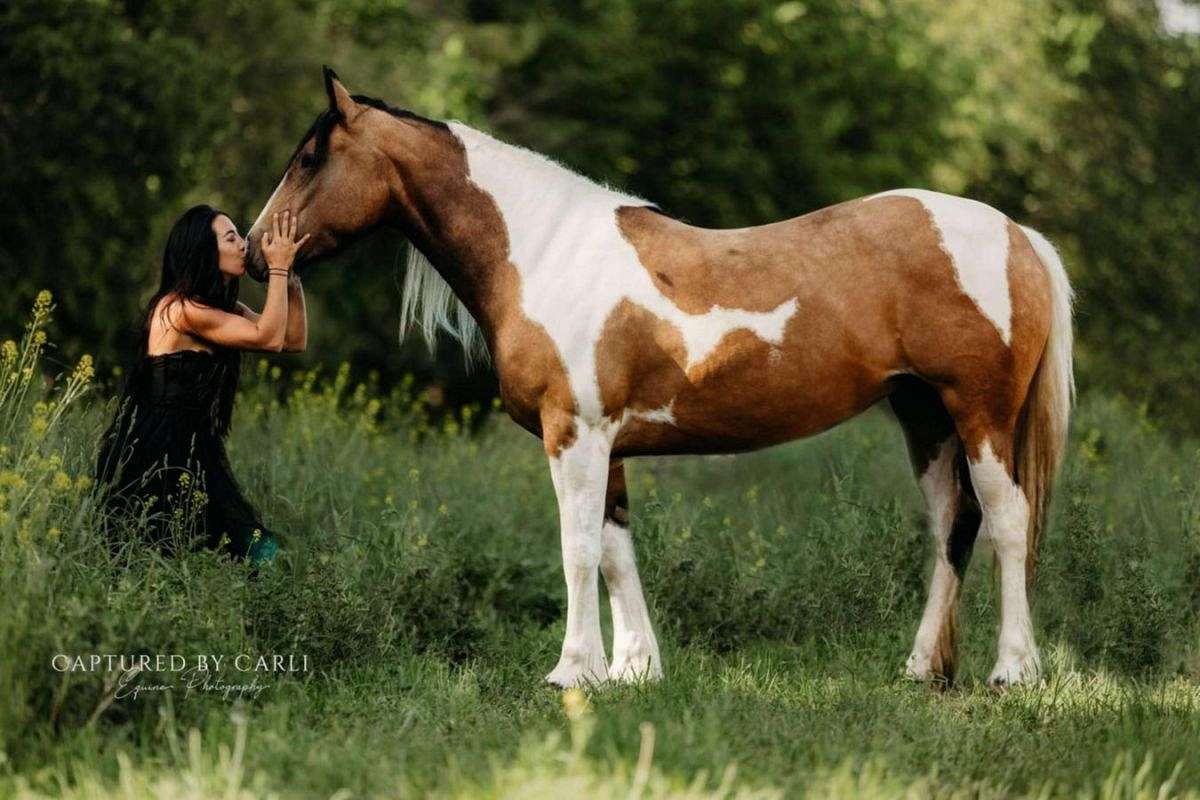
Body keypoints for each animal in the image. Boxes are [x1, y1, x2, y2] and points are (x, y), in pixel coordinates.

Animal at [247, 68, 1074, 689]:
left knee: (1006, 522)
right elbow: (617, 552)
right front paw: (633, 670)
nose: (255, 253)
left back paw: (1014, 670)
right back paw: (920, 667)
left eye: (309, 159)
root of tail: (1018, 234)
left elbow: (578, 549)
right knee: (951, 527)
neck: (543, 253)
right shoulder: (606, 444)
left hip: (980, 417)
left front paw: (572, 671)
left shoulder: (574, 435)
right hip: (924, 418)